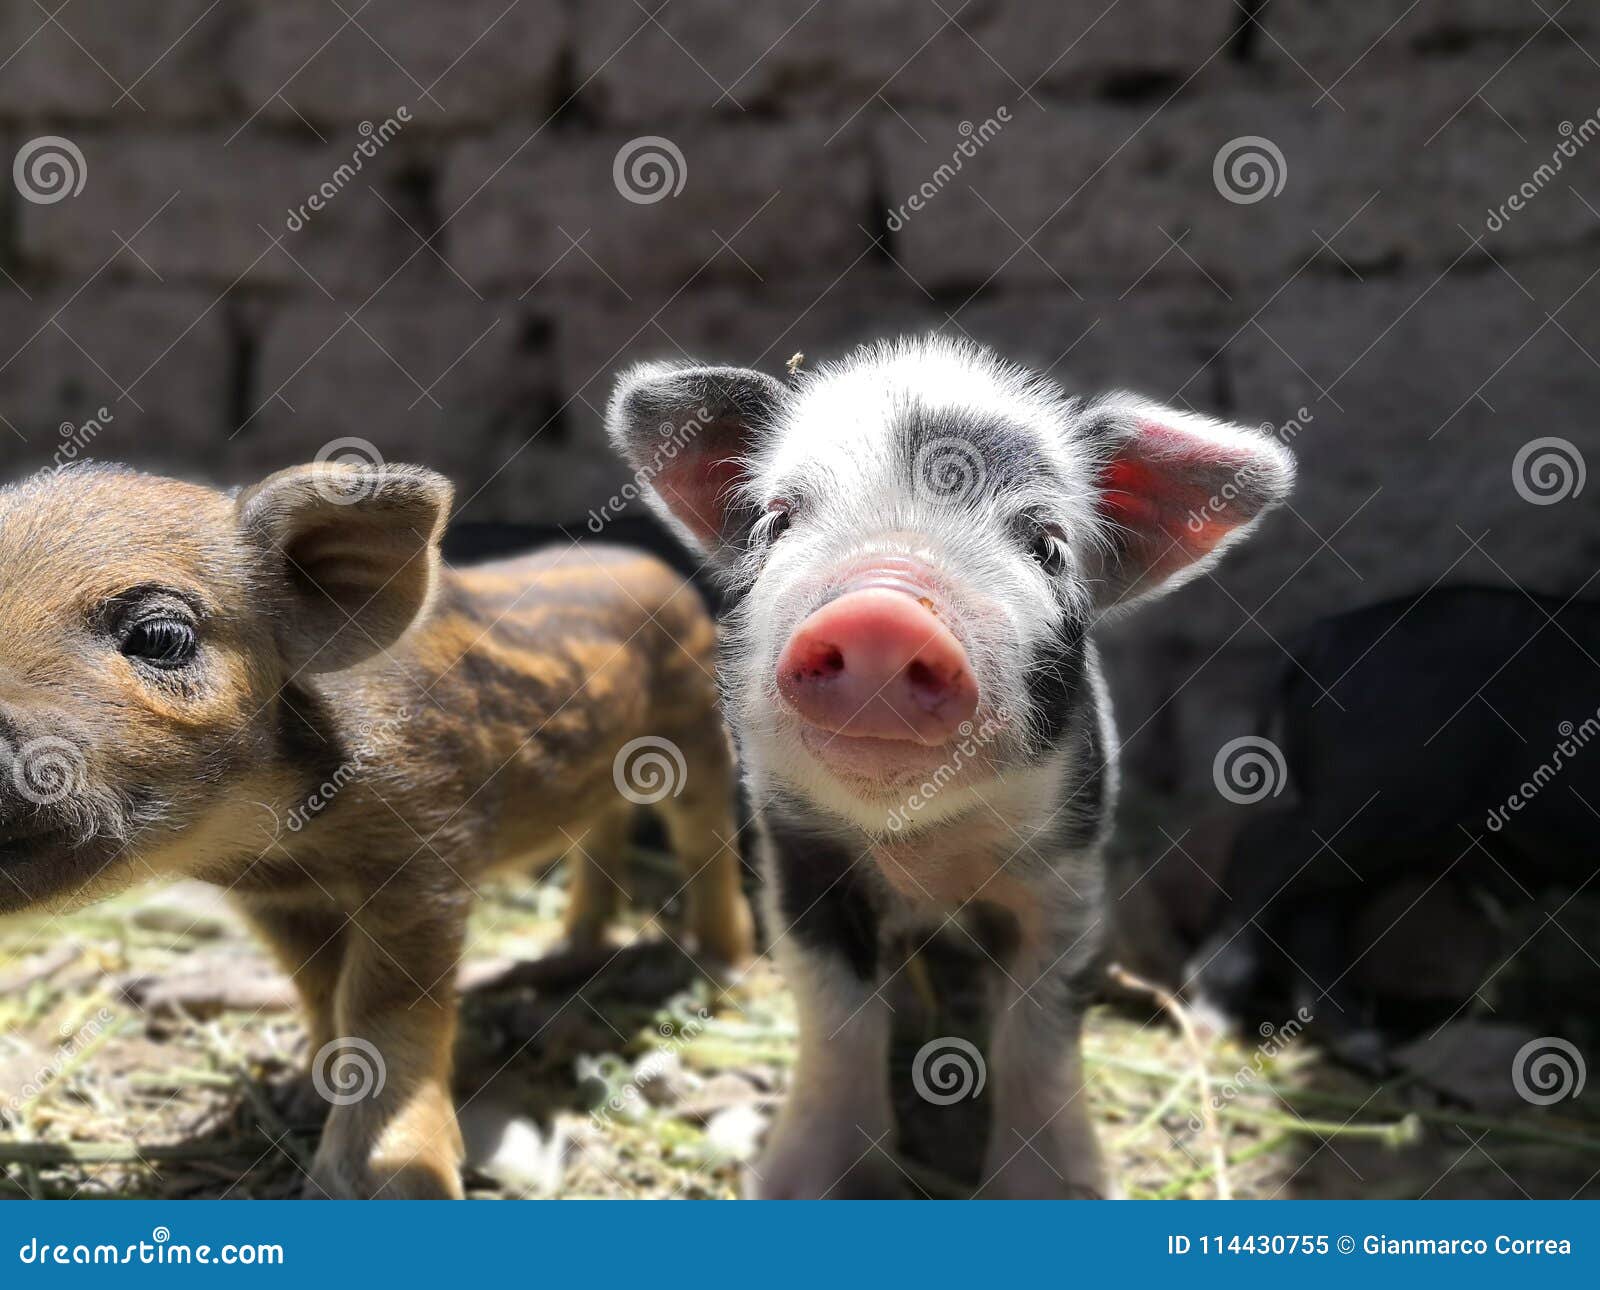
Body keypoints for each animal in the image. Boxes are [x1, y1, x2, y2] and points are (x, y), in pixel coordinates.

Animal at [0, 460, 754, 1198]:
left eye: (160, 637)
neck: (279, 838)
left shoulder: (425, 858)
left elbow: (386, 1004)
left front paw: (378, 1182)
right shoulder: (277, 898)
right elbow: (318, 988)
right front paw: (302, 1099)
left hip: (697, 735)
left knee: (707, 844)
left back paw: (712, 967)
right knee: (600, 832)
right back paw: (573, 946)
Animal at [608, 336, 1294, 1197]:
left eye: (1047, 544)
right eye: (778, 518)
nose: (883, 611)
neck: (921, 847)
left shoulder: (1066, 873)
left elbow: (1041, 1033)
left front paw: (1057, 1191)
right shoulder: (799, 858)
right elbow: (837, 1024)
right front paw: (797, 1185)